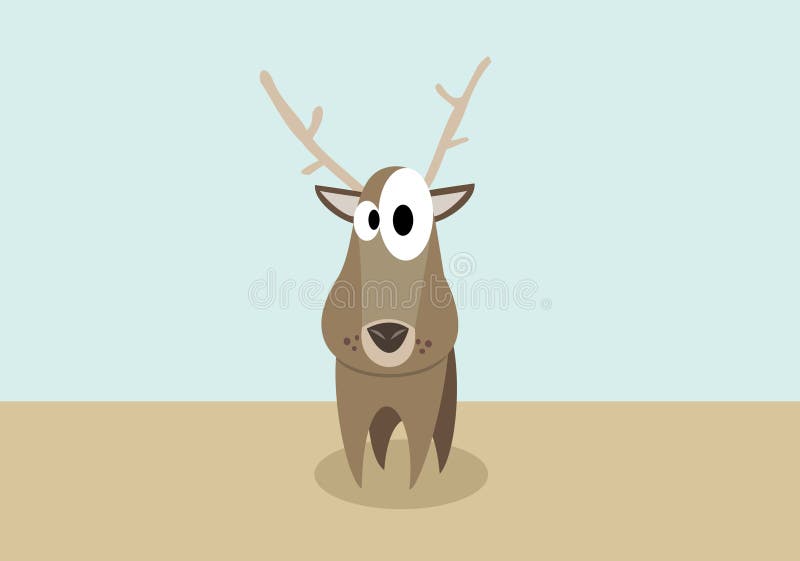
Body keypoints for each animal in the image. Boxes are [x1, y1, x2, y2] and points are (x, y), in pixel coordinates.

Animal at [259, 57, 490, 488]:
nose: (388, 334)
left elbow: (418, 453)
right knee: (380, 441)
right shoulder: (350, 392)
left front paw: (412, 489)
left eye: (409, 219)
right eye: (370, 219)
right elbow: (354, 451)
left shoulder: (425, 394)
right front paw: (363, 485)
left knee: (438, 441)